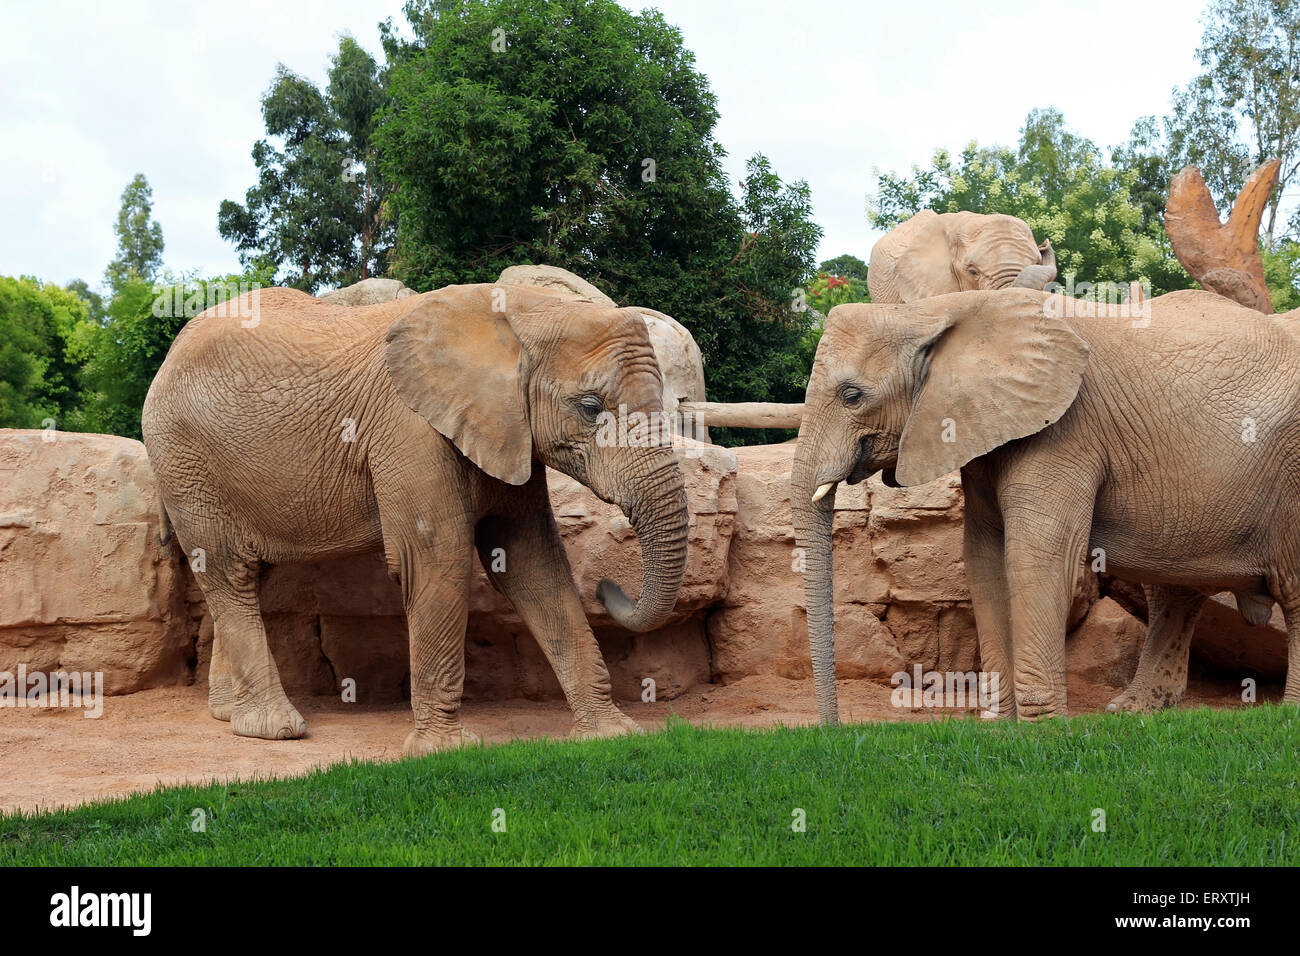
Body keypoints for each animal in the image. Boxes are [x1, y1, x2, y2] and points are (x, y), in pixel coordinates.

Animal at [141, 282, 688, 756]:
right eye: (591, 407)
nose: (609, 585)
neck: (519, 312)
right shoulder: (410, 428)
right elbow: (437, 559)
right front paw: (445, 750)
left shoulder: (506, 429)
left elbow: (533, 562)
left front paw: (613, 735)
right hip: (184, 458)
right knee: (229, 571)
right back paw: (274, 728)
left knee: (249, 575)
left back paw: (228, 715)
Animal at [791, 287, 1300, 724]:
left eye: (852, 395)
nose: (833, 730)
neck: (939, 310)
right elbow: (984, 560)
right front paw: (998, 727)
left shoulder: (1066, 431)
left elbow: (1039, 555)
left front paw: (1044, 728)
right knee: (1175, 594)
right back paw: (1132, 711)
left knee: (1292, 593)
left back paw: (1287, 714)